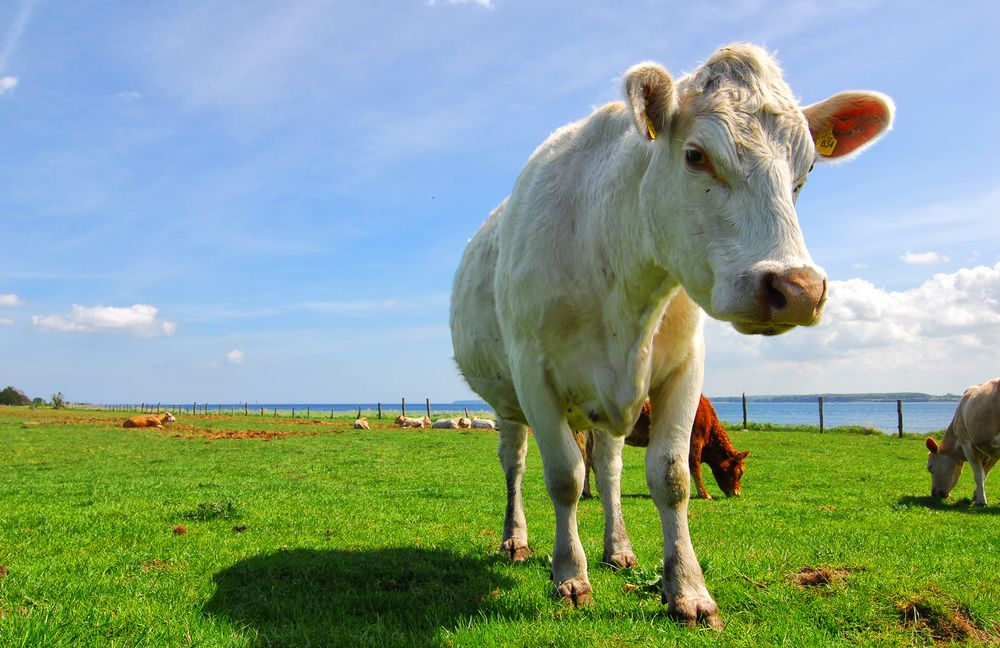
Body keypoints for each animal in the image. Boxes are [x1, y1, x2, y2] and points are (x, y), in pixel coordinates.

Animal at [450, 43, 893, 626]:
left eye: (807, 168)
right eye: (696, 155)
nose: (798, 289)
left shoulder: (684, 369)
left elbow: (671, 477)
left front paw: (687, 588)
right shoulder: (533, 374)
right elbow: (564, 476)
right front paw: (569, 576)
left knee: (609, 469)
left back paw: (618, 548)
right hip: (507, 404)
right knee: (517, 465)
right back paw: (515, 539)